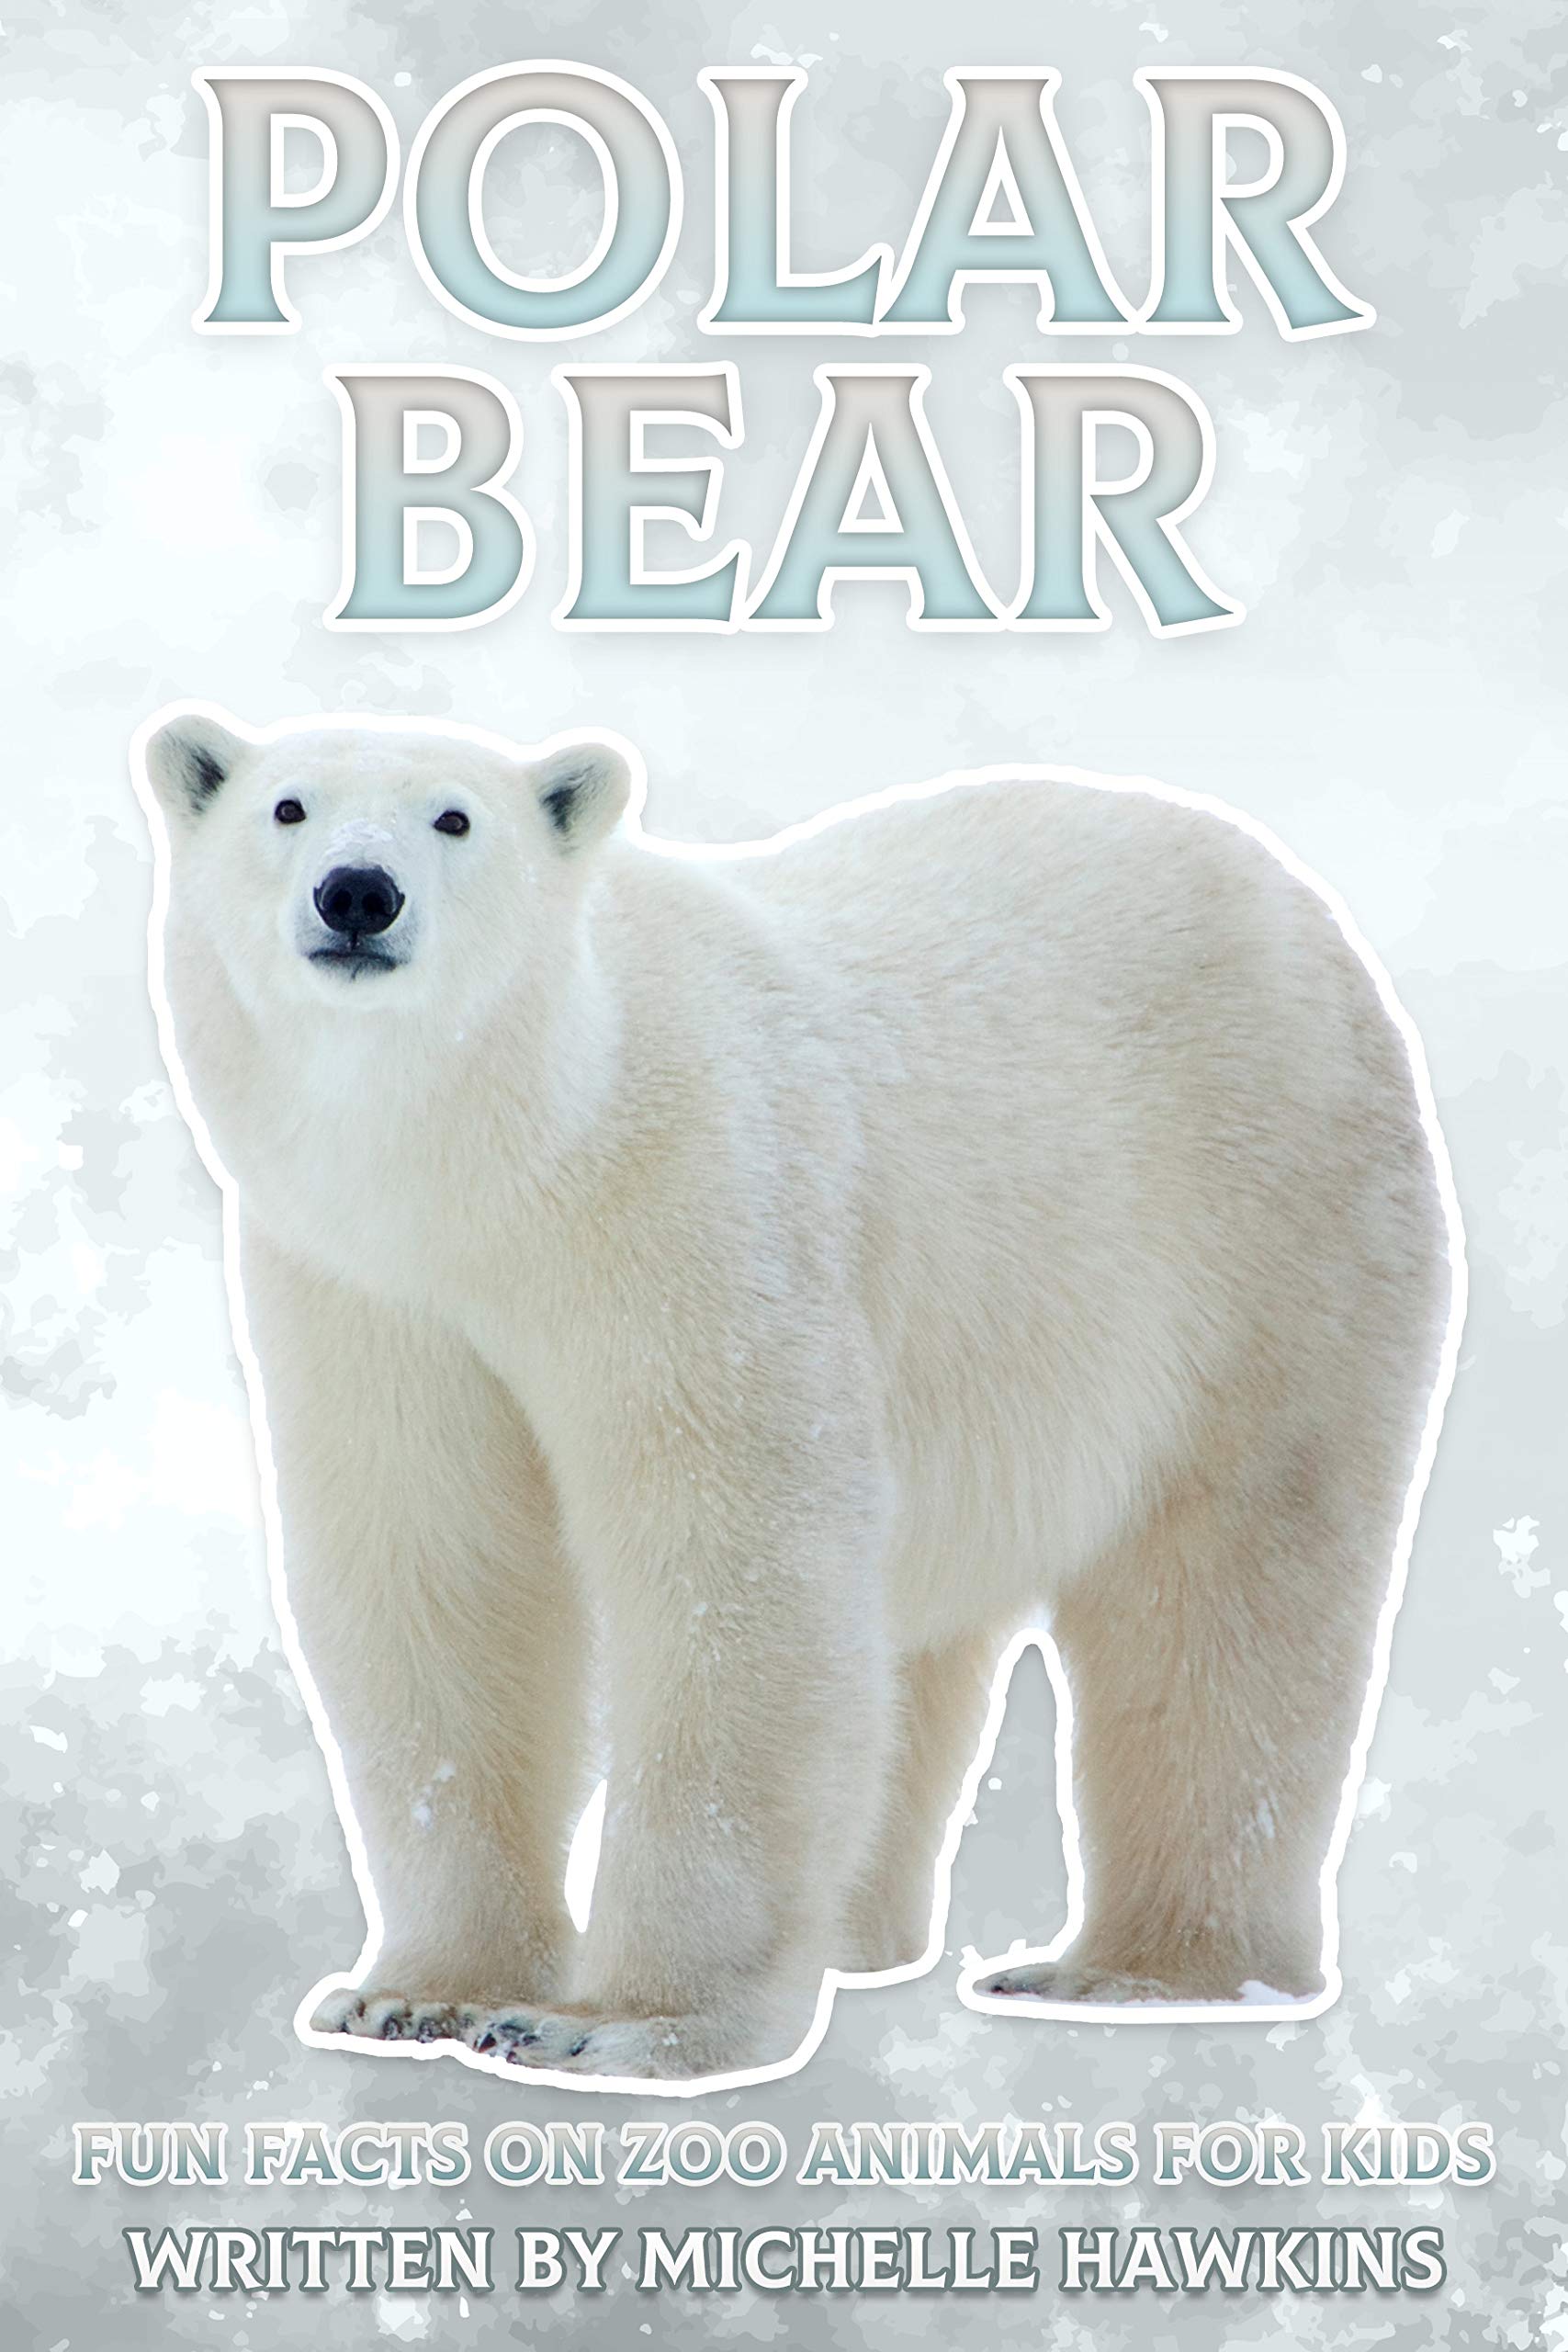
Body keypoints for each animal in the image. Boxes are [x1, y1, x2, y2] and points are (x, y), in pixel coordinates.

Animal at [135, 705, 1456, 2086]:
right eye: (286, 806)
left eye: (455, 817)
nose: (357, 892)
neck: (511, 1163)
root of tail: (1293, 898)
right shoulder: (370, 1291)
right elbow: (433, 1565)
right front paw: (416, 1995)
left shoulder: (692, 1202)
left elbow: (731, 1565)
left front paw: (618, 2023)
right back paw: (863, 1933)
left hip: (1263, 1228)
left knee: (1228, 1584)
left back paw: (1136, 1968)